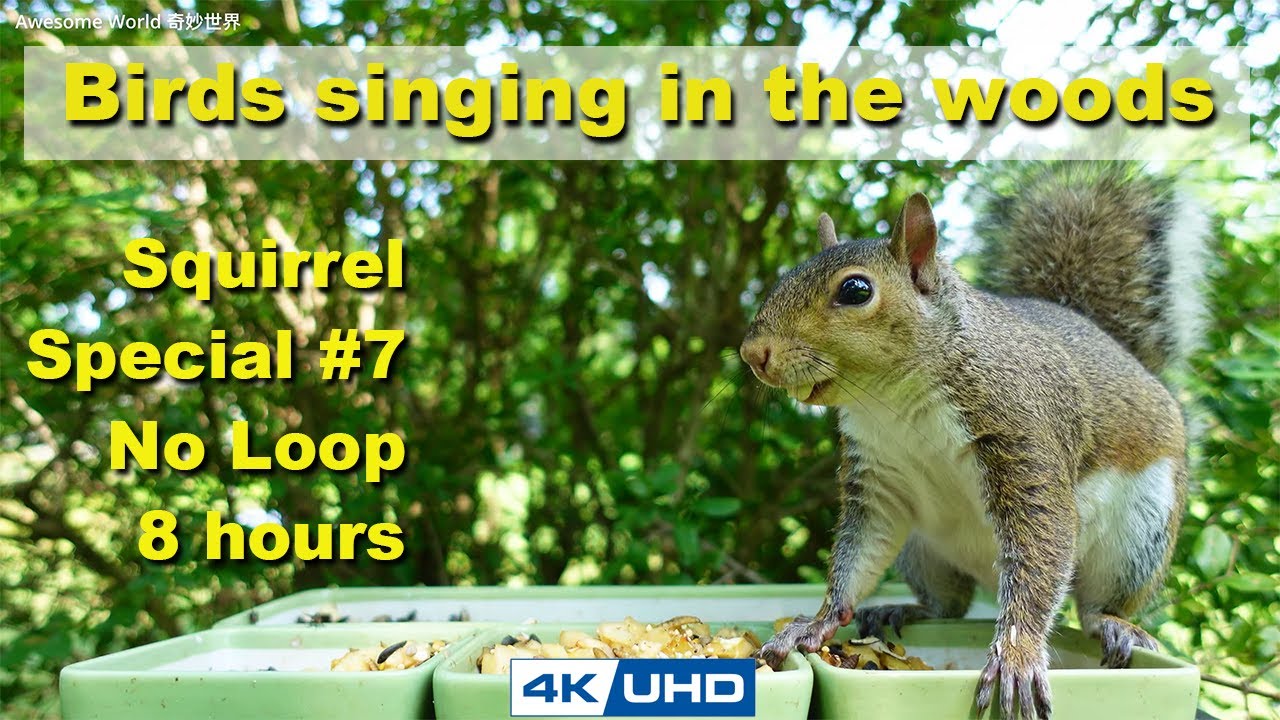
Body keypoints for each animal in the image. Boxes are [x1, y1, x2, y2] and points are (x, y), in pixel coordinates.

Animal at [740, 162, 1207, 720]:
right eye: (787, 275)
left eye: (855, 291)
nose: (752, 353)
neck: (892, 397)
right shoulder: (878, 478)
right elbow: (859, 551)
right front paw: (818, 622)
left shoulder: (1023, 438)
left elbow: (1039, 547)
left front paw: (1018, 656)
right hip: (923, 550)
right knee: (950, 604)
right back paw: (903, 609)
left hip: (1140, 531)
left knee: (1097, 604)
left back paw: (1115, 626)